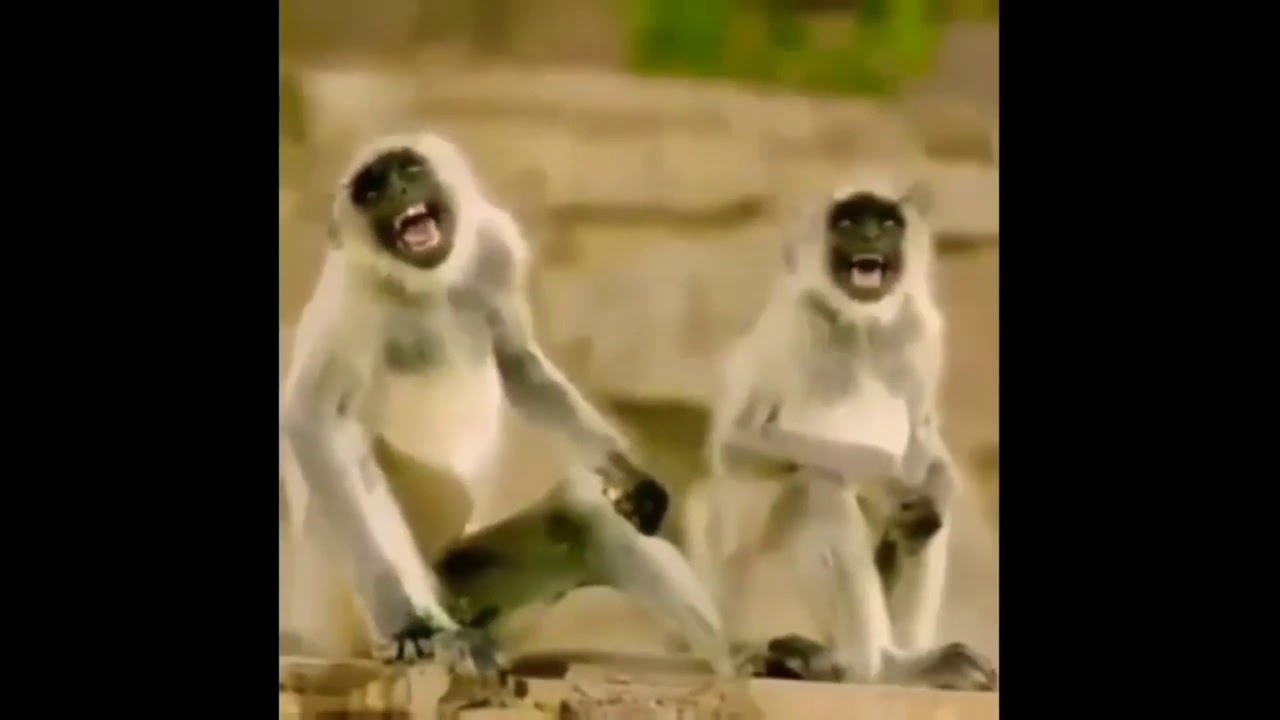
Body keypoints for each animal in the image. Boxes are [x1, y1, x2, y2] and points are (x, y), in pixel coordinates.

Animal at [279, 131, 735, 680]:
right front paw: (403, 624)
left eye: (408, 169)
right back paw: (419, 629)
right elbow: (310, 420)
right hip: (332, 603)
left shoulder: (495, 251)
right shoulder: (353, 296)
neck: (429, 285)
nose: (396, 191)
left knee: (583, 518)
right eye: (371, 188)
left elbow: (518, 360)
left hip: (461, 584)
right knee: (350, 449)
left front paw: (634, 481)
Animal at [680, 164, 997, 691]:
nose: (868, 236)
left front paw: (929, 483)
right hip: (749, 584)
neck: (862, 326)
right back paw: (868, 666)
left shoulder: (921, 330)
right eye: (848, 222)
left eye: (886, 223)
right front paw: (887, 480)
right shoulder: (796, 323)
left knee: (925, 520)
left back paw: (913, 662)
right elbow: (738, 444)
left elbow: (924, 439)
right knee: (817, 482)